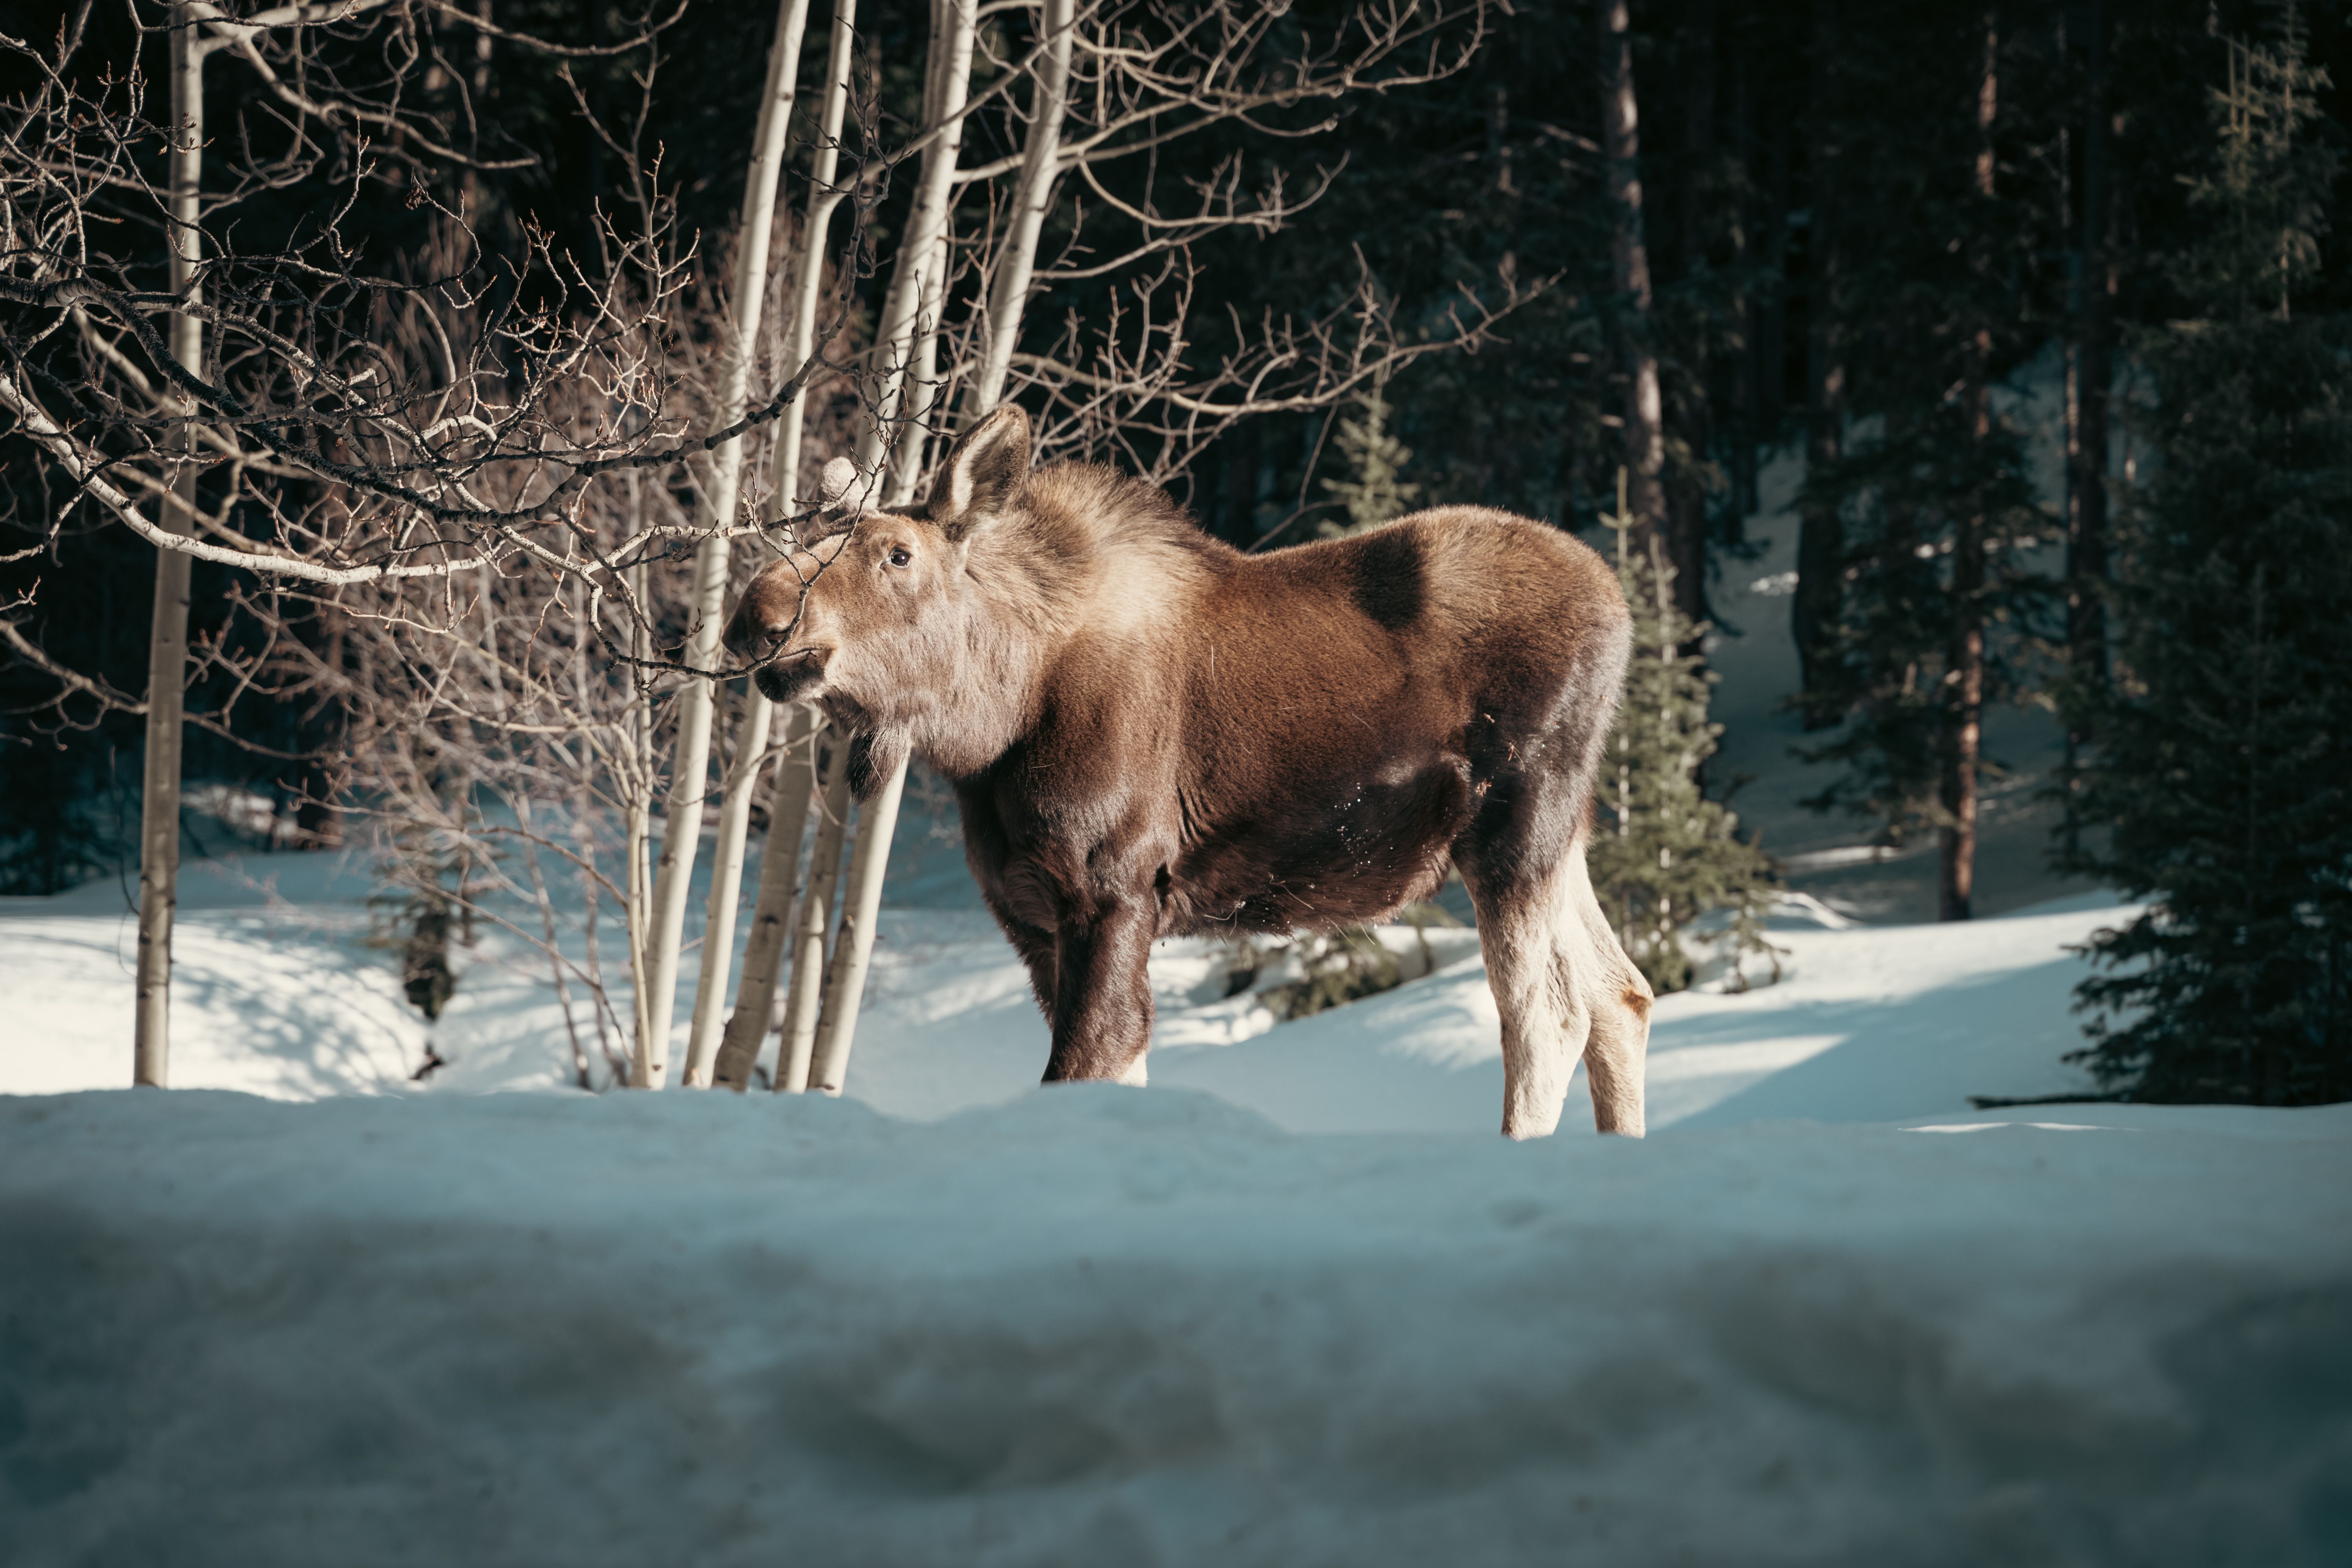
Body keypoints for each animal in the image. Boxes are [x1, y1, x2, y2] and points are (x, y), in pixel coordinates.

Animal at [724, 406, 1652, 1137]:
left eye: (897, 554)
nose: (754, 618)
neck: (992, 725)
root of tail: (1621, 609)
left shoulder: (1115, 889)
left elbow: (1085, 1065)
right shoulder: (1030, 914)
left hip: (1514, 823)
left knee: (1549, 1016)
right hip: (1557, 838)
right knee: (1621, 994)